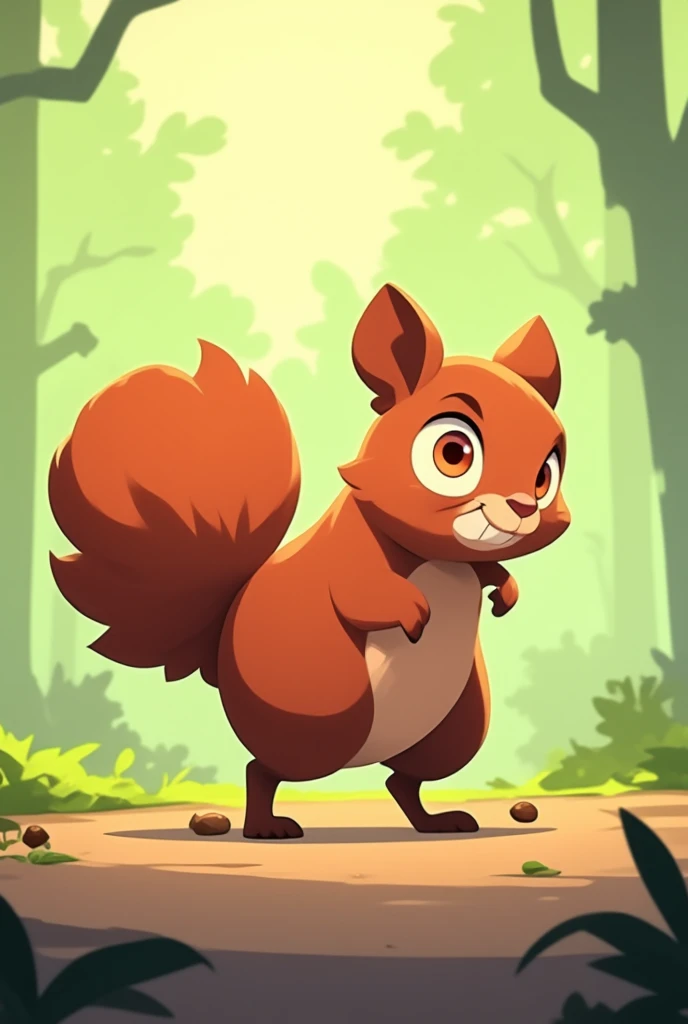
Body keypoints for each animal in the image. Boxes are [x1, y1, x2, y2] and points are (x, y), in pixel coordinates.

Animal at [49, 284, 570, 840]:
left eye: (546, 472)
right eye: (453, 452)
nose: (525, 507)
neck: (437, 557)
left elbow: (489, 568)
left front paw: (505, 589)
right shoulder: (349, 554)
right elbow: (360, 595)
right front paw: (412, 610)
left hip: (456, 730)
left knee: (402, 781)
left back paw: (436, 821)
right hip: (321, 723)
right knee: (263, 770)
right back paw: (265, 827)